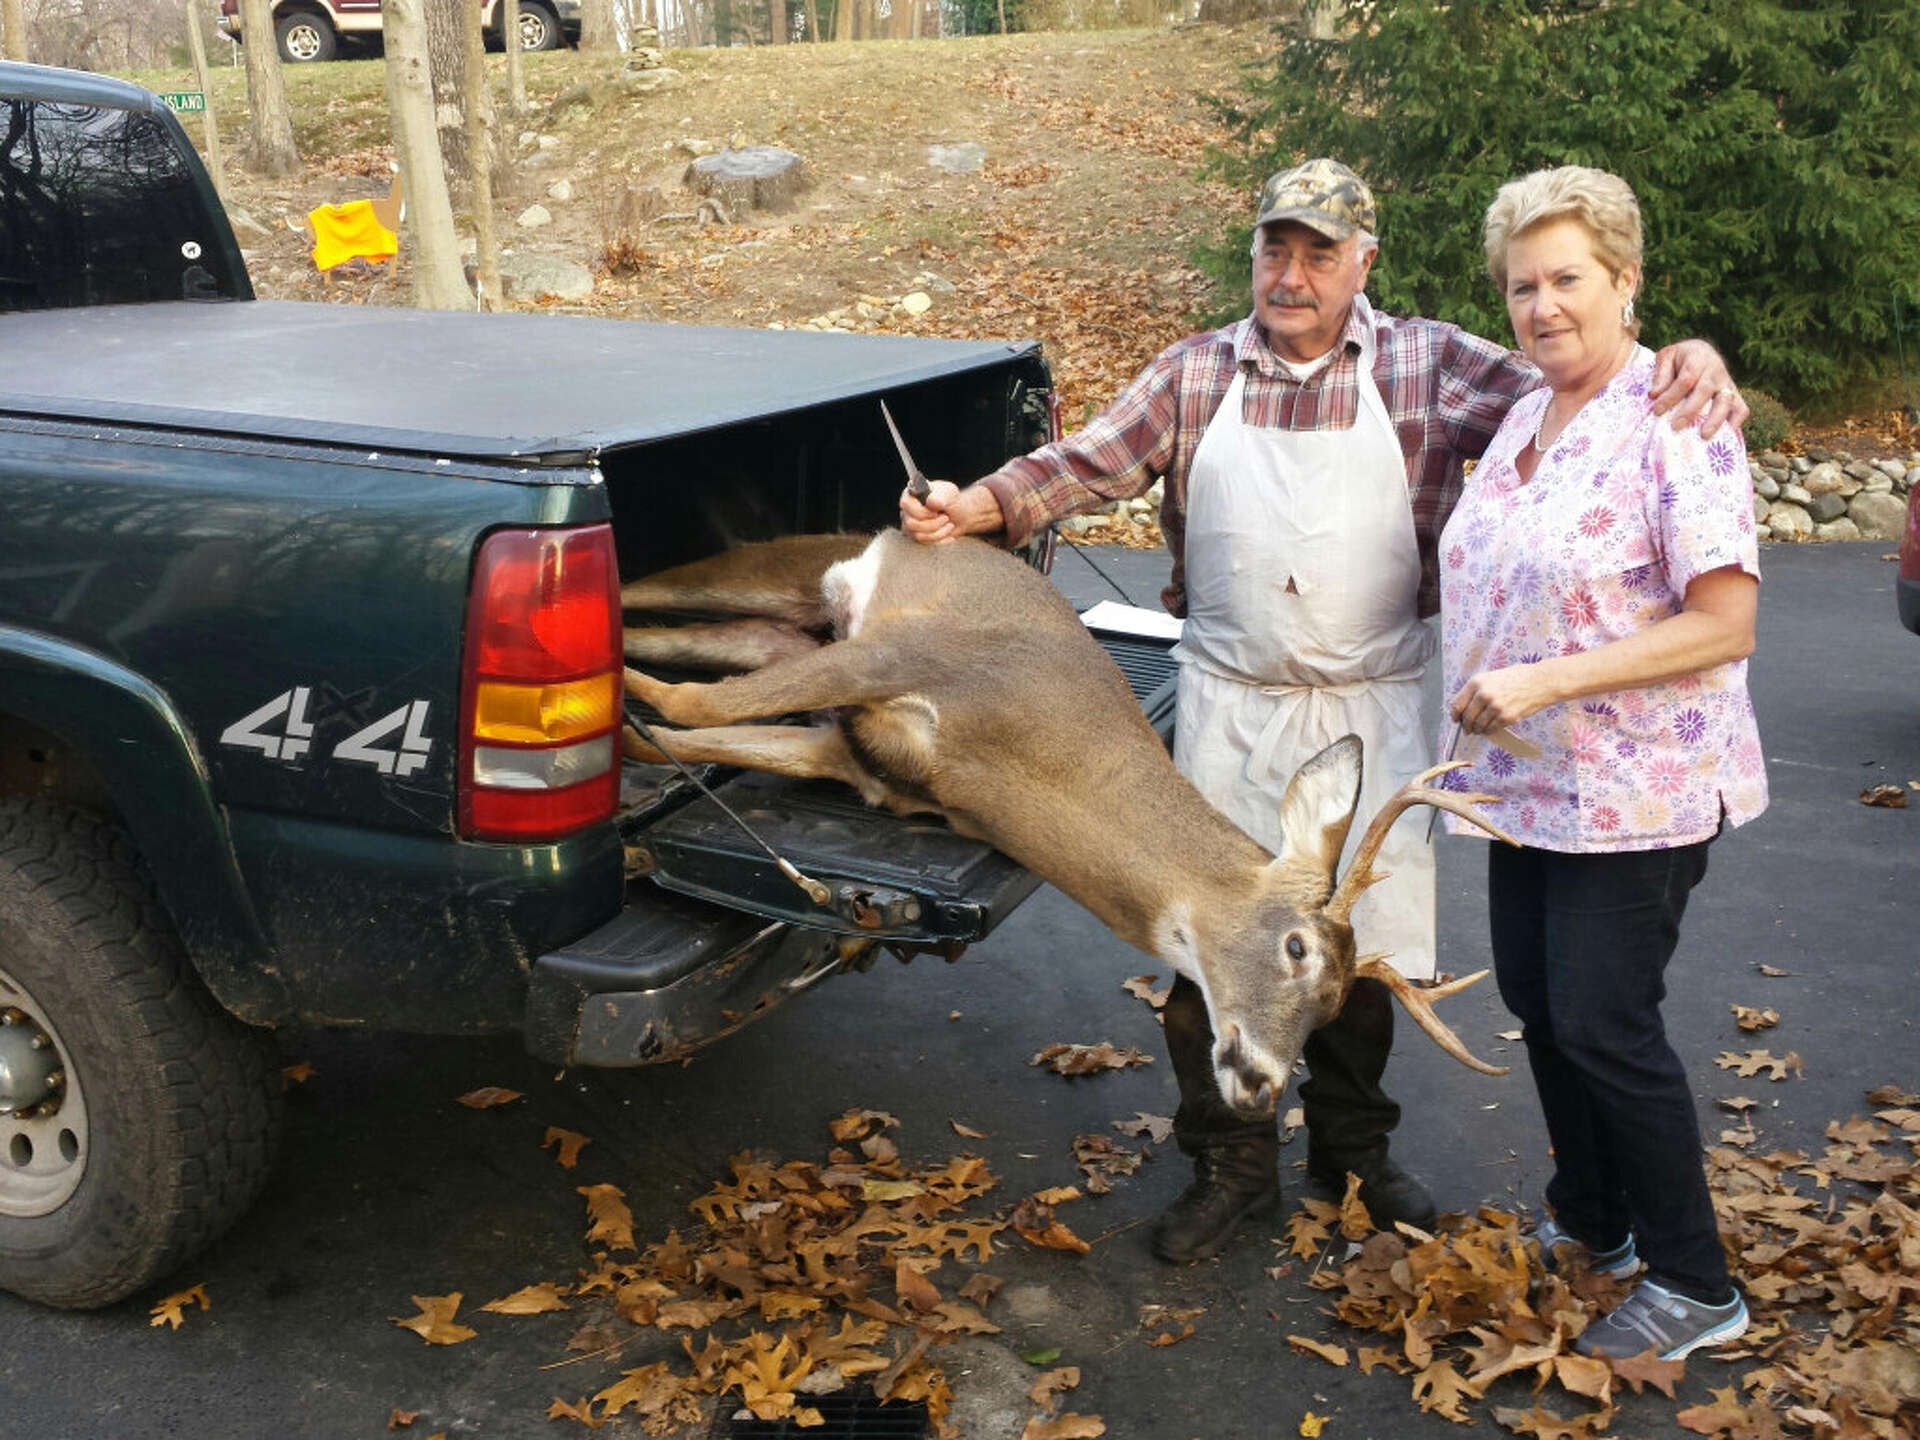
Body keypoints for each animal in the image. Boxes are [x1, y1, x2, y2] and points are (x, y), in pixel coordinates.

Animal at [619, 529, 1515, 1116]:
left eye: (1331, 1010)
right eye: (1297, 948)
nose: (1262, 1087)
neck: (1014, 760)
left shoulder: (856, 764)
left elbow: (687, 729)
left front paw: (632, 825)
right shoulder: (906, 659)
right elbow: (683, 707)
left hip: (782, 632)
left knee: (681, 635)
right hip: (776, 577)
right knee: (642, 589)